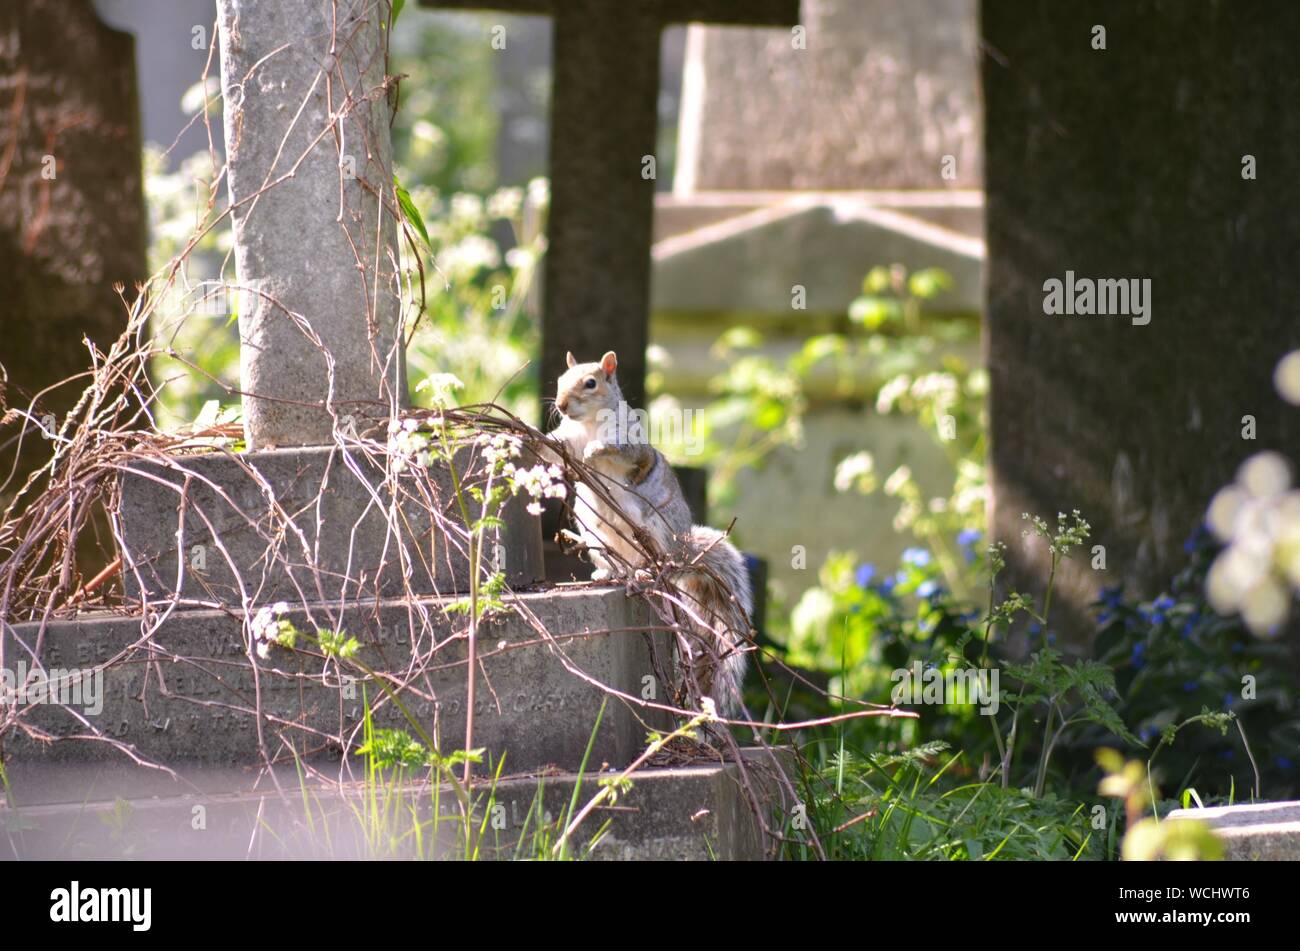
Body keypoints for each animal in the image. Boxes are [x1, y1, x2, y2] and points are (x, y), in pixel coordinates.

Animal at [545, 350, 753, 716]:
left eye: (591, 382)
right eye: (559, 381)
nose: (561, 404)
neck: (587, 423)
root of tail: (681, 549)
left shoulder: (632, 442)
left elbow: (626, 452)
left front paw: (597, 450)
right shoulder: (569, 439)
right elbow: (557, 446)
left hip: (654, 529)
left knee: (657, 563)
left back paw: (647, 571)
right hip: (594, 532)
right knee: (617, 564)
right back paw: (609, 573)